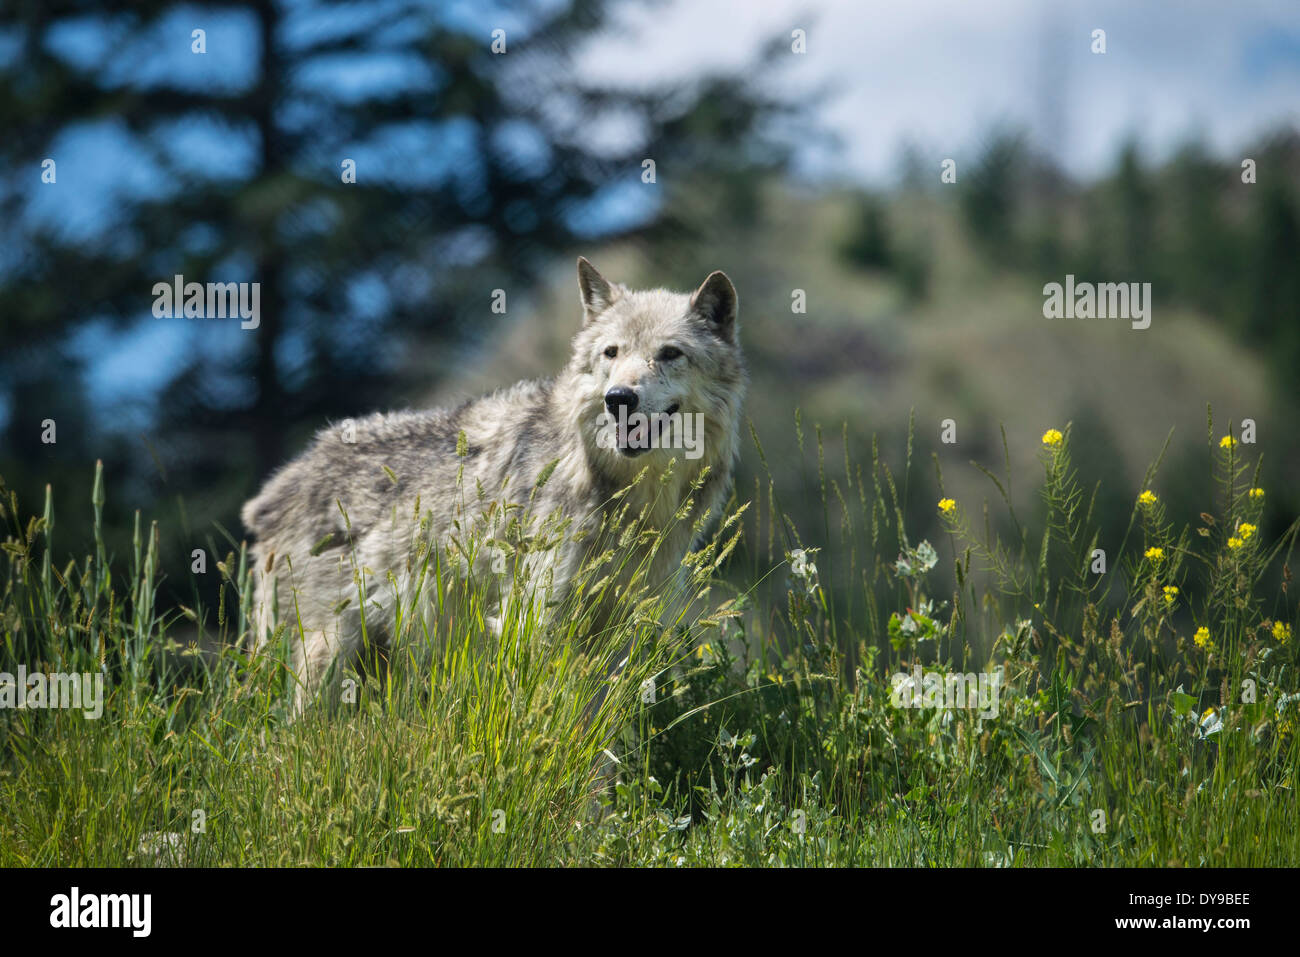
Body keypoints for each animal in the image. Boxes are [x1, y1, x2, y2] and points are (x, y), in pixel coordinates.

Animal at [241, 258, 745, 711]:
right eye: (612, 353)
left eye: (670, 354)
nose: (618, 398)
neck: (634, 495)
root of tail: (280, 483)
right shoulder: (536, 618)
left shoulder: (622, 625)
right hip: (323, 659)